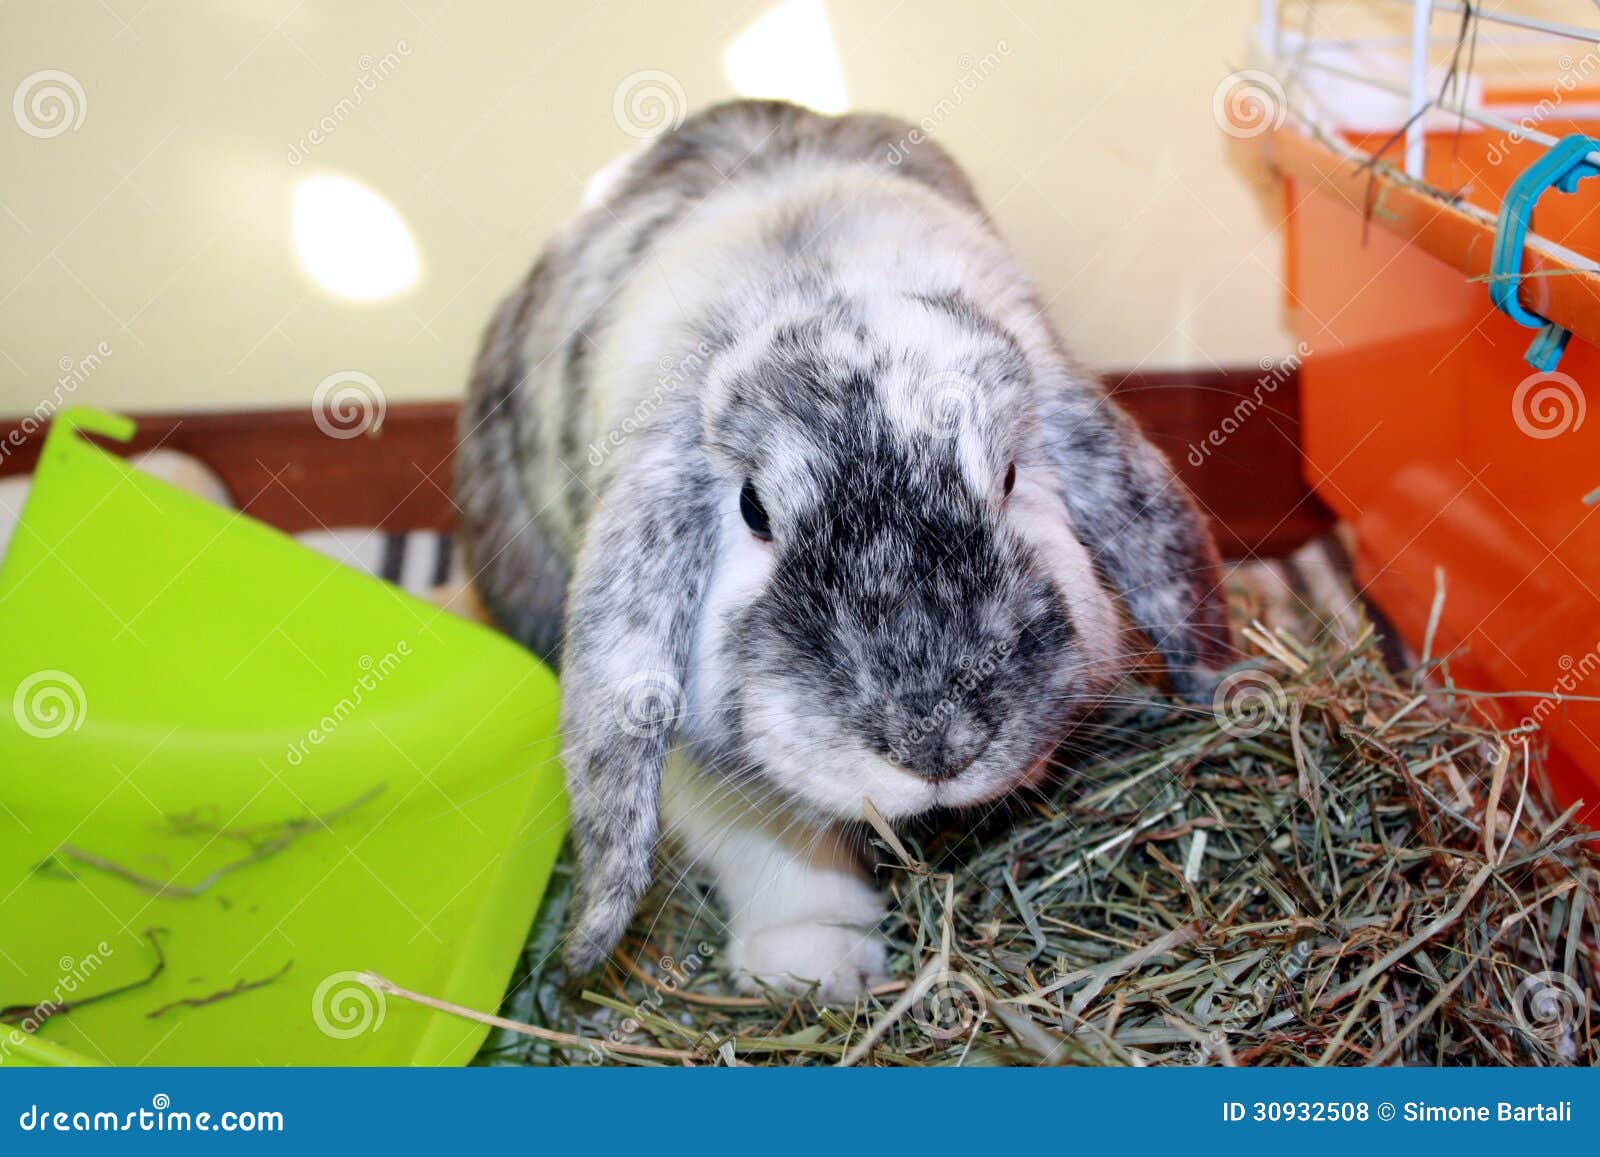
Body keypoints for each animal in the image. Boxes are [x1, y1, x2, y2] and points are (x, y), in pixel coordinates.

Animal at [456, 99, 1231, 999]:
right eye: (754, 508)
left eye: (1008, 475)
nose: (936, 744)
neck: (817, 280)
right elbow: (773, 855)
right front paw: (816, 965)